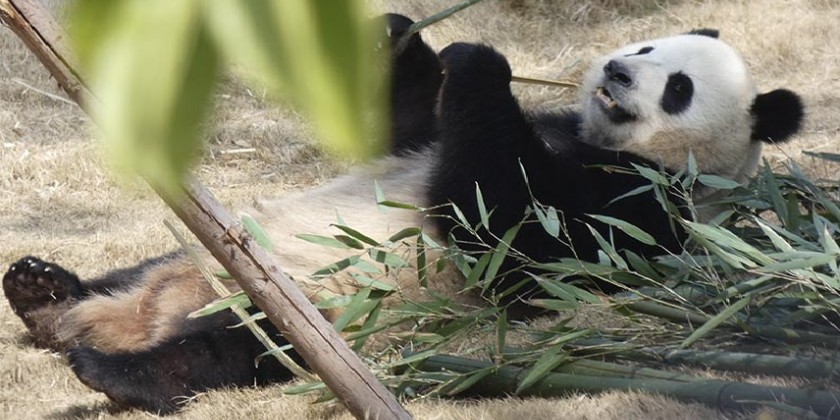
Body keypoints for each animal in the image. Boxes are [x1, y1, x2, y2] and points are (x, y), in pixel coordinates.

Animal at [2, 14, 803, 414]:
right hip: (195, 253)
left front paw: (482, 61)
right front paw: (406, 36)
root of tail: (149, 314)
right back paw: (44, 292)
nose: (615, 71)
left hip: (317, 312)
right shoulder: (458, 138)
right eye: (644, 41)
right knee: (134, 271)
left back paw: (115, 370)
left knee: (230, 350)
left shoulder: (638, 210)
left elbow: (503, 229)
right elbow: (414, 130)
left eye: (676, 87)